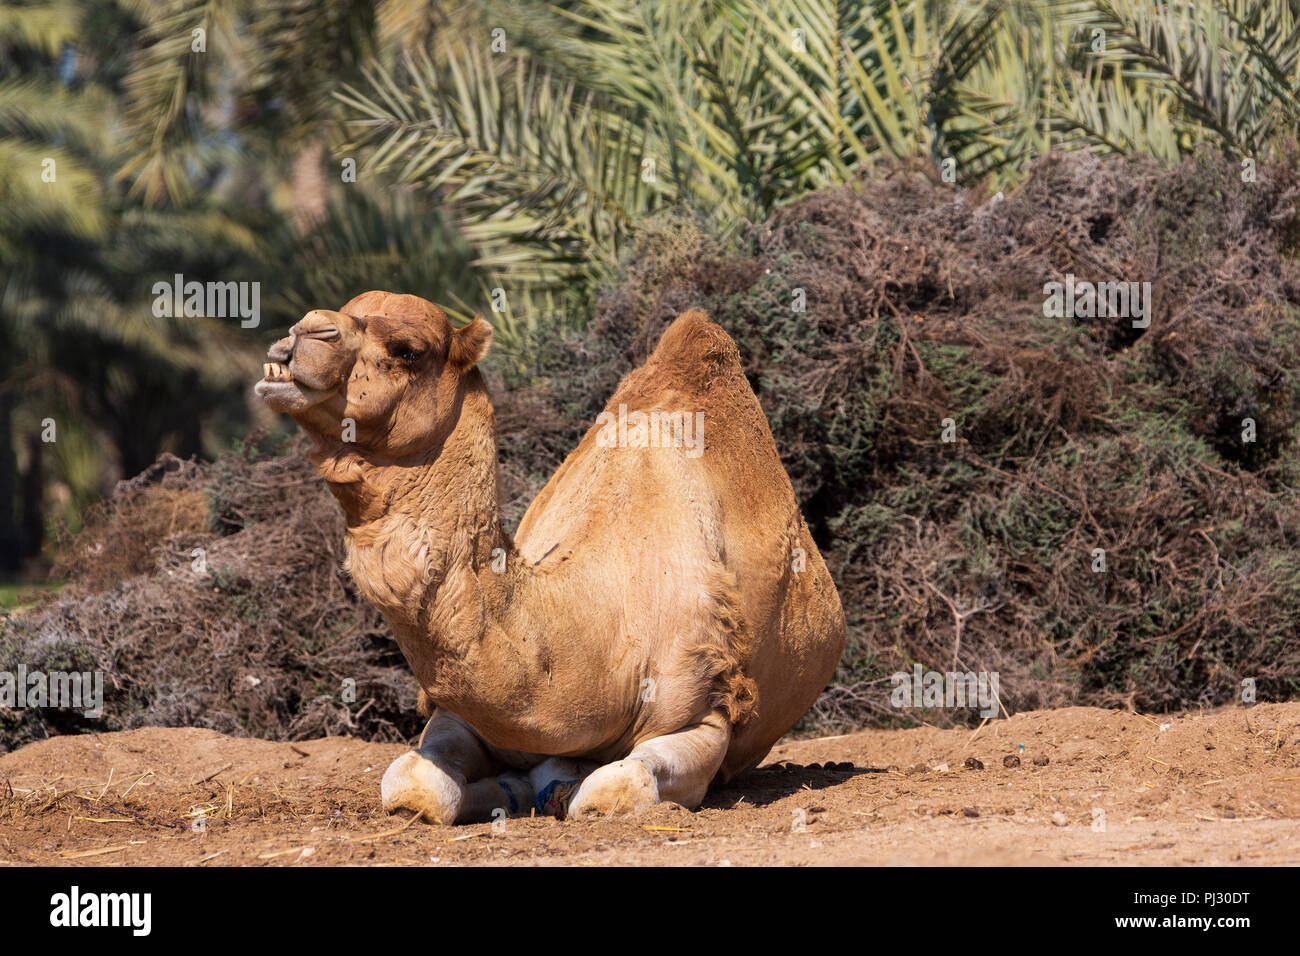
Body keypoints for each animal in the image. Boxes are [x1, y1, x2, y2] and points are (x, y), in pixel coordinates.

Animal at [254, 291, 845, 822]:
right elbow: (412, 784)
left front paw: (565, 787)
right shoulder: (462, 712)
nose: (300, 335)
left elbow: (612, 790)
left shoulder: (704, 711)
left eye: (408, 349)